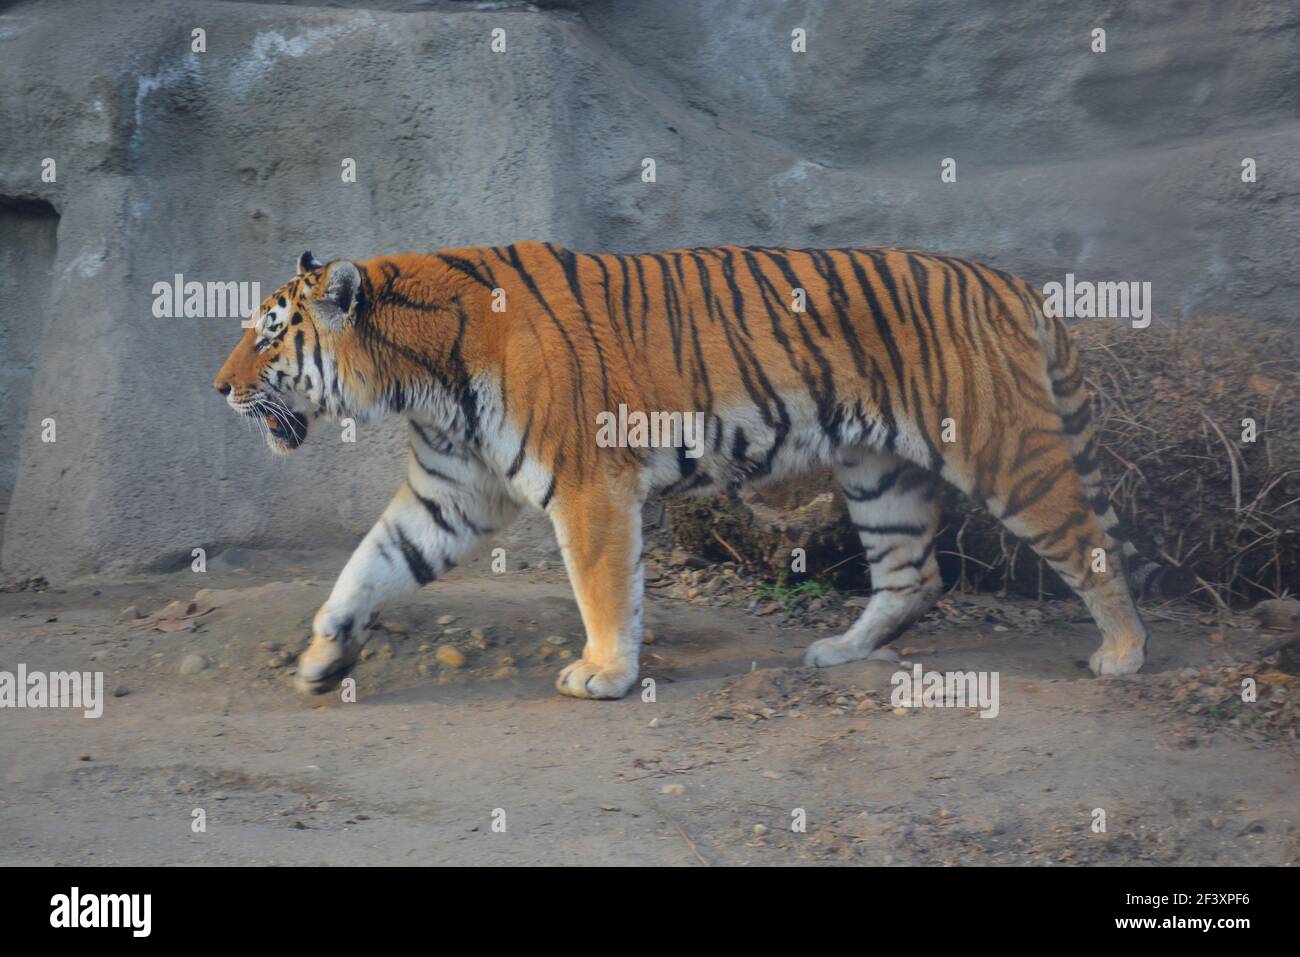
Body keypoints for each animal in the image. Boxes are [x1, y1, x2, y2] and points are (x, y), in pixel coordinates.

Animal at [214, 244, 1183, 699]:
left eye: (269, 333)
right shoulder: (451, 492)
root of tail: (1013, 284)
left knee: (1090, 543)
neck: (416, 377)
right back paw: (840, 650)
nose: (218, 387)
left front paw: (604, 674)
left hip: (1005, 449)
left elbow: (604, 585)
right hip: (879, 470)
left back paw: (1126, 653)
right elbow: (370, 563)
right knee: (915, 574)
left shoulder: (587, 480)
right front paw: (323, 656)